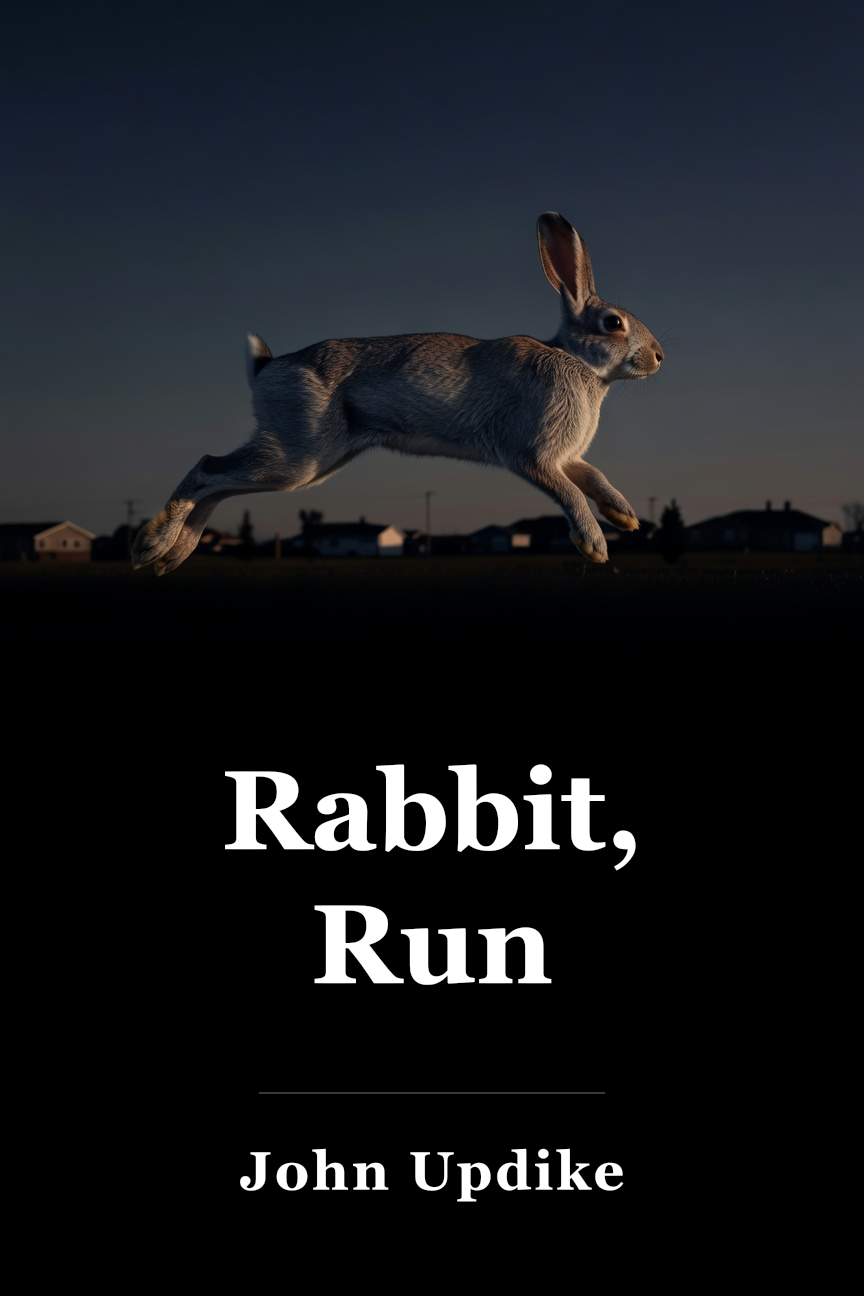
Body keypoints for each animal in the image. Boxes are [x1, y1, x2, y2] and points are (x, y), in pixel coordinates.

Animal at [131, 211, 663, 575]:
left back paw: (168, 558)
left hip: (310, 465)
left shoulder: (566, 457)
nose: (659, 356)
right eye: (613, 324)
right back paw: (150, 547)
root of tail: (267, 367)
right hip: (298, 455)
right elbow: (569, 493)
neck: (580, 364)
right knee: (208, 468)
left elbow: (592, 476)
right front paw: (596, 546)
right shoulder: (532, 456)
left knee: (221, 482)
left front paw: (625, 517)